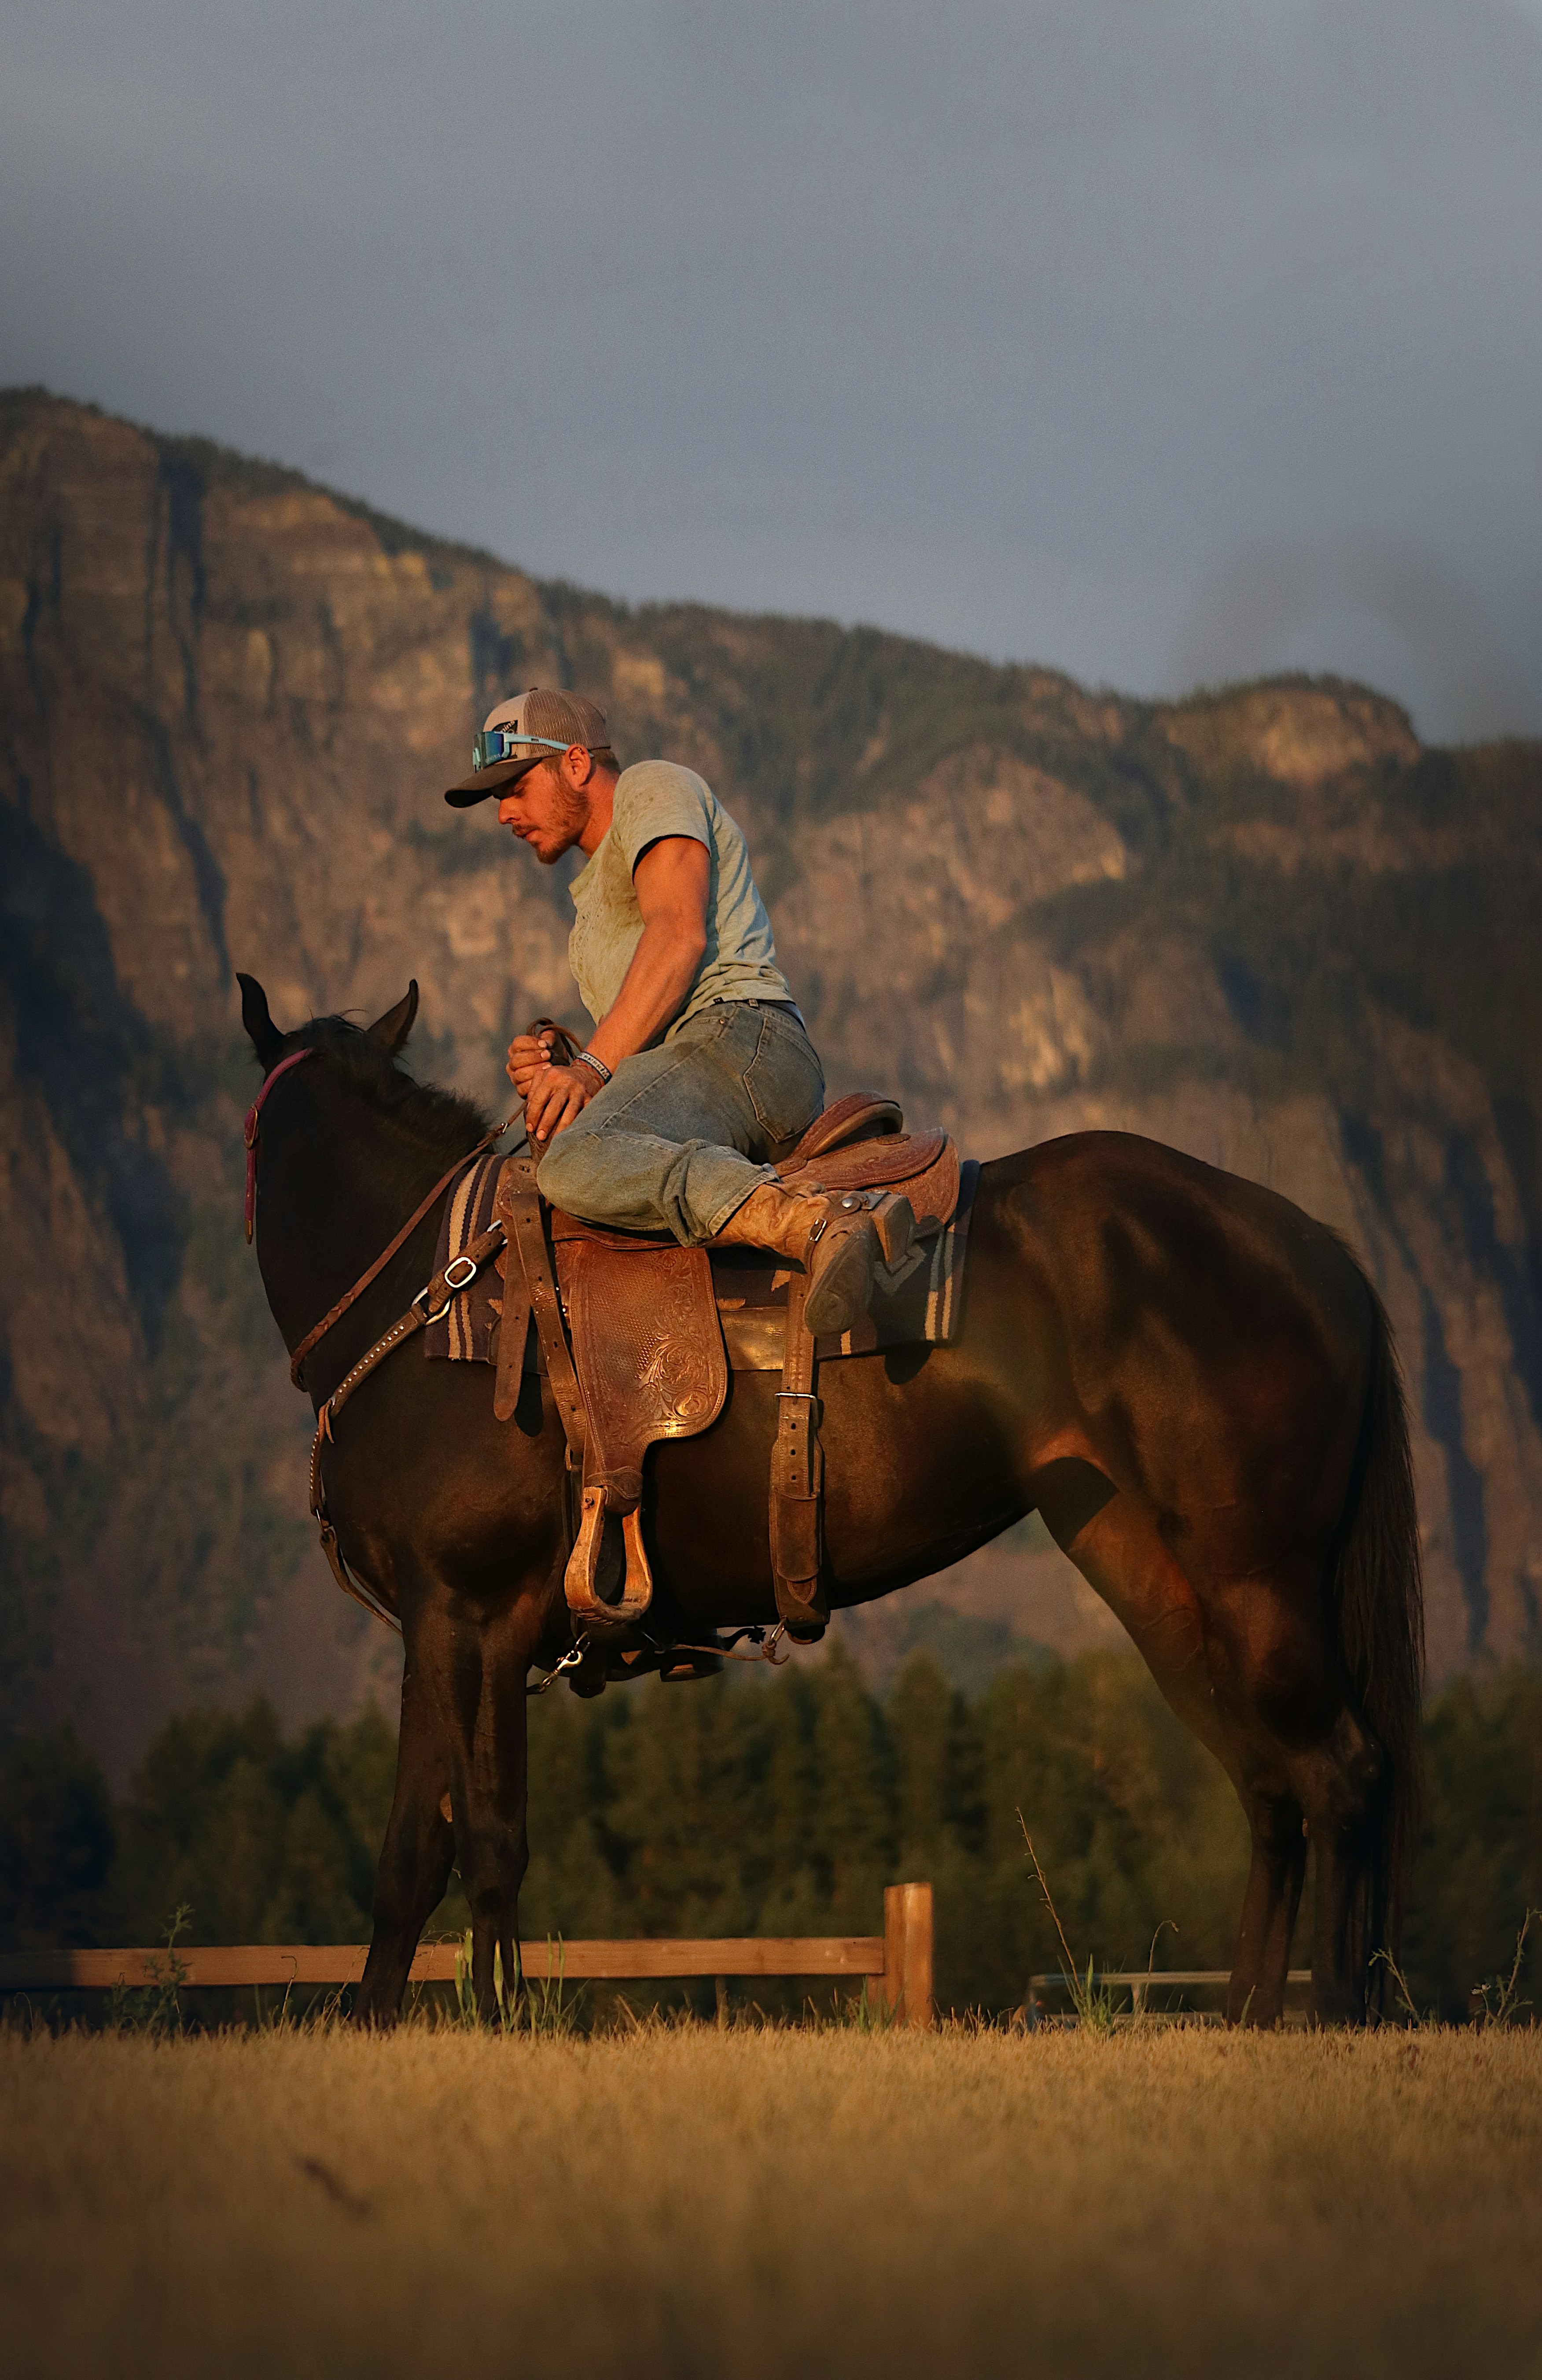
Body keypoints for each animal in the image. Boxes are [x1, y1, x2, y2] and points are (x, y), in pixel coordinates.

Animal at [237, 972, 1424, 2029]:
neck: (437, 1305)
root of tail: (1315, 1249)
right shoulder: (439, 1629)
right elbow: (422, 1844)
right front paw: (386, 2021)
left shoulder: (470, 1613)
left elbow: (477, 1840)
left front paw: (489, 2021)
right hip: (1155, 1581)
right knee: (1269, 1787)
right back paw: (1251, 2014)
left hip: (1255, 1578)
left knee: (1342, 1771)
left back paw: (1329, 2015)